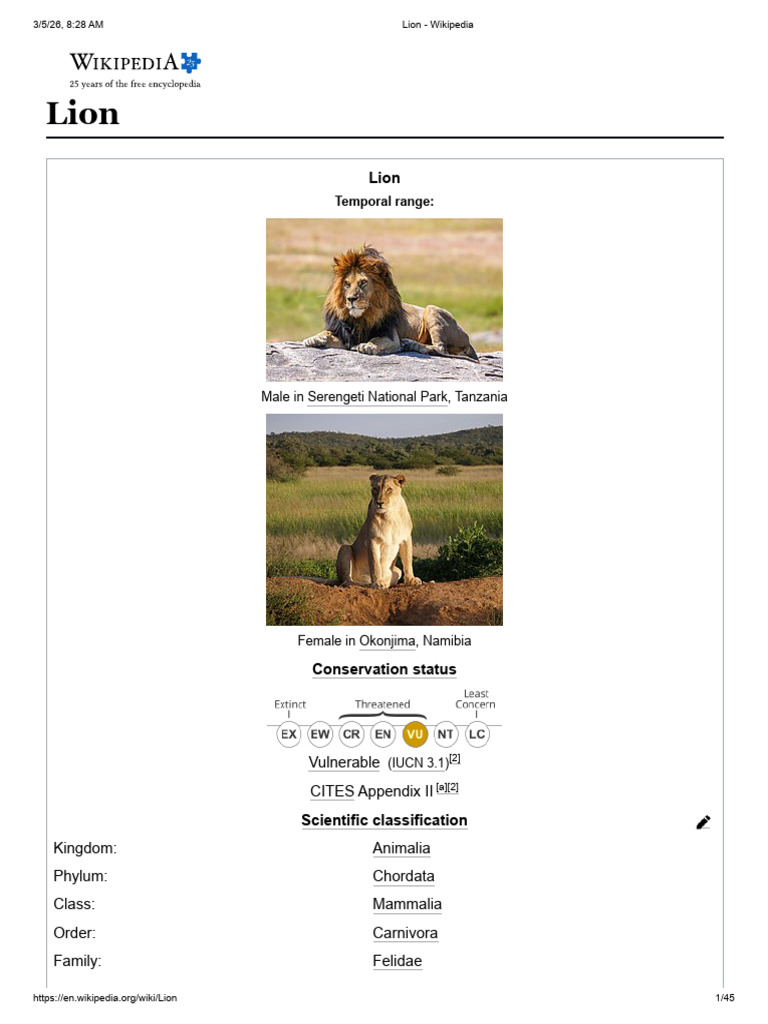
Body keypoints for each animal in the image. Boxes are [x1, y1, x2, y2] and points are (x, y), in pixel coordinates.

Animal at [303, 246, 479, 361]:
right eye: (346, 284)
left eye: (363, 283)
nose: (351, 299)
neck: (361, 318)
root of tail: (467, 338)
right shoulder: (346, 337)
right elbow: (326, 333)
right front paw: (313, 339)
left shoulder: (391, 337)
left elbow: (377, 340)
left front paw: (368, 346)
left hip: (431, 309)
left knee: (441, 349)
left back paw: (410, 344)